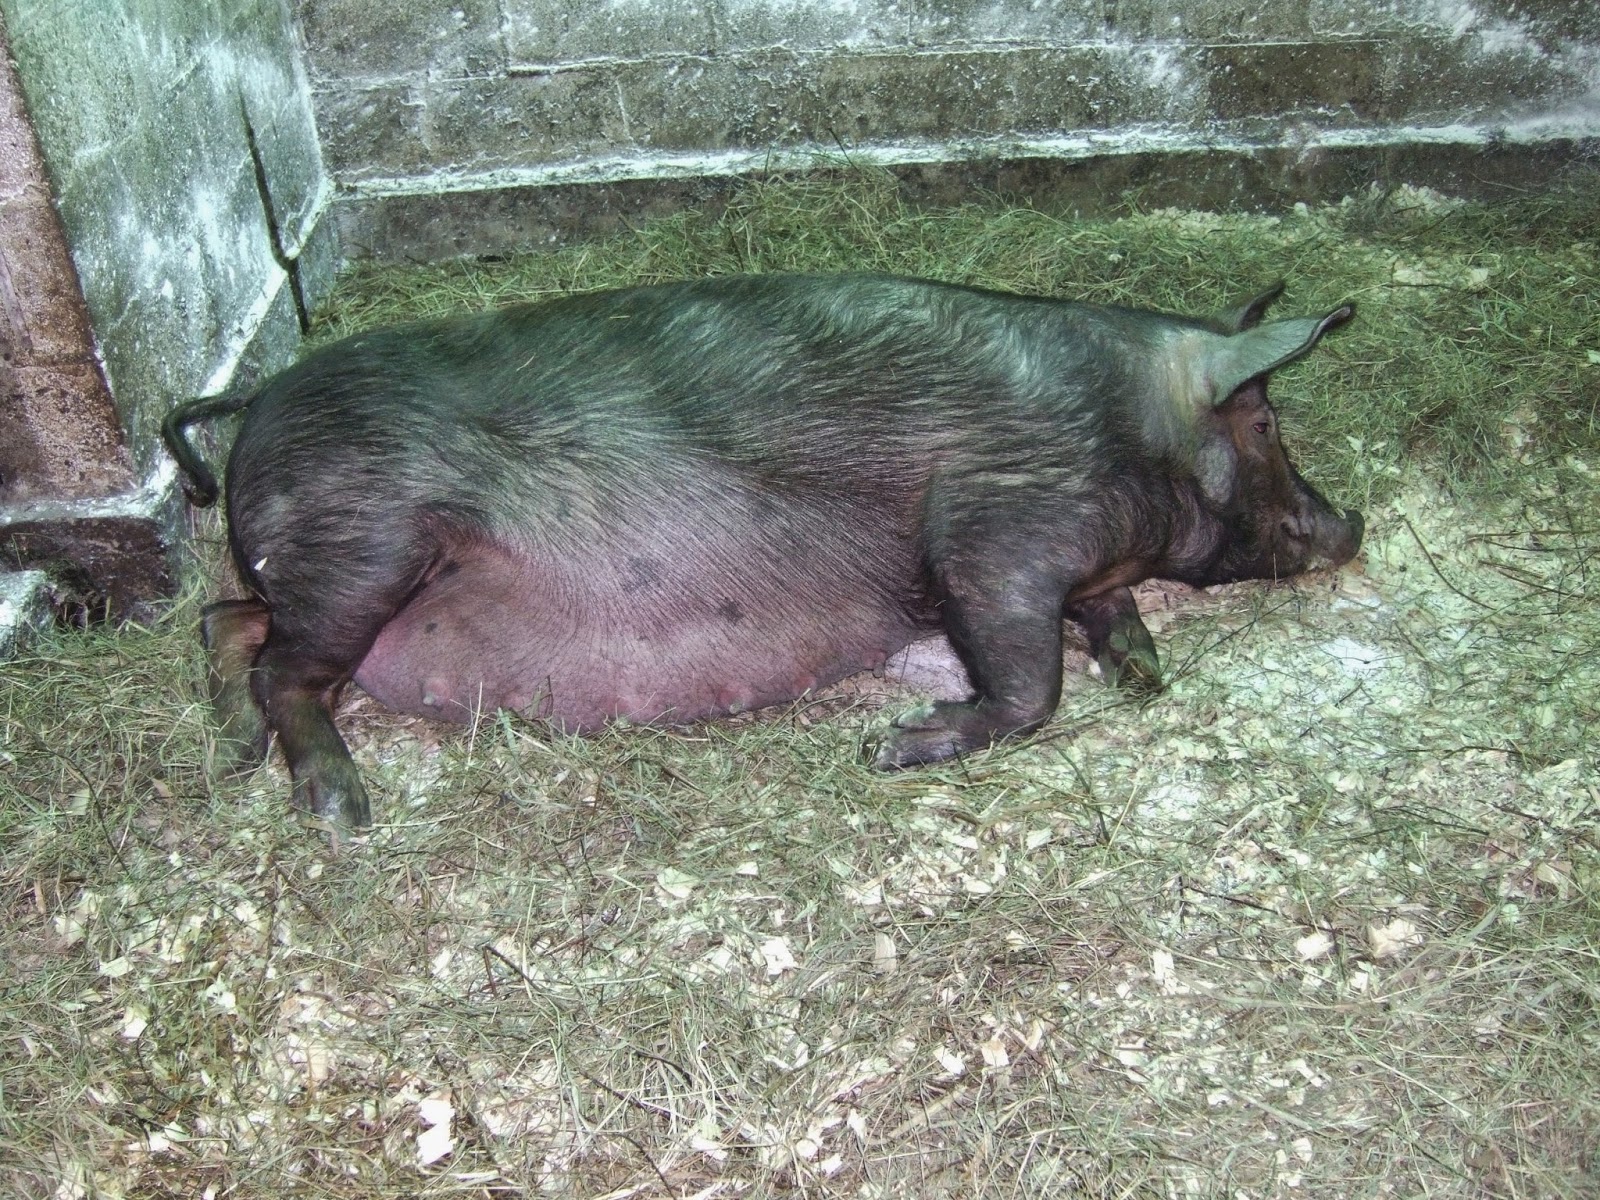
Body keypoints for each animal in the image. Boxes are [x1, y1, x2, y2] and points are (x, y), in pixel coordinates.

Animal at [163, 273, 1363, 829]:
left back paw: (234, 751)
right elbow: (1029, 683)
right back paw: (337, 809)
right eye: (1266, 423)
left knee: (228, 620)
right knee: (280, 663)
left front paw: (1145, 668)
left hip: (330, 565)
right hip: (362, 536)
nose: (1352, 525)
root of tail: (257, 403)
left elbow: (1113, 624)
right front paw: (894, 746)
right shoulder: (997, 526)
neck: (1127, 429)